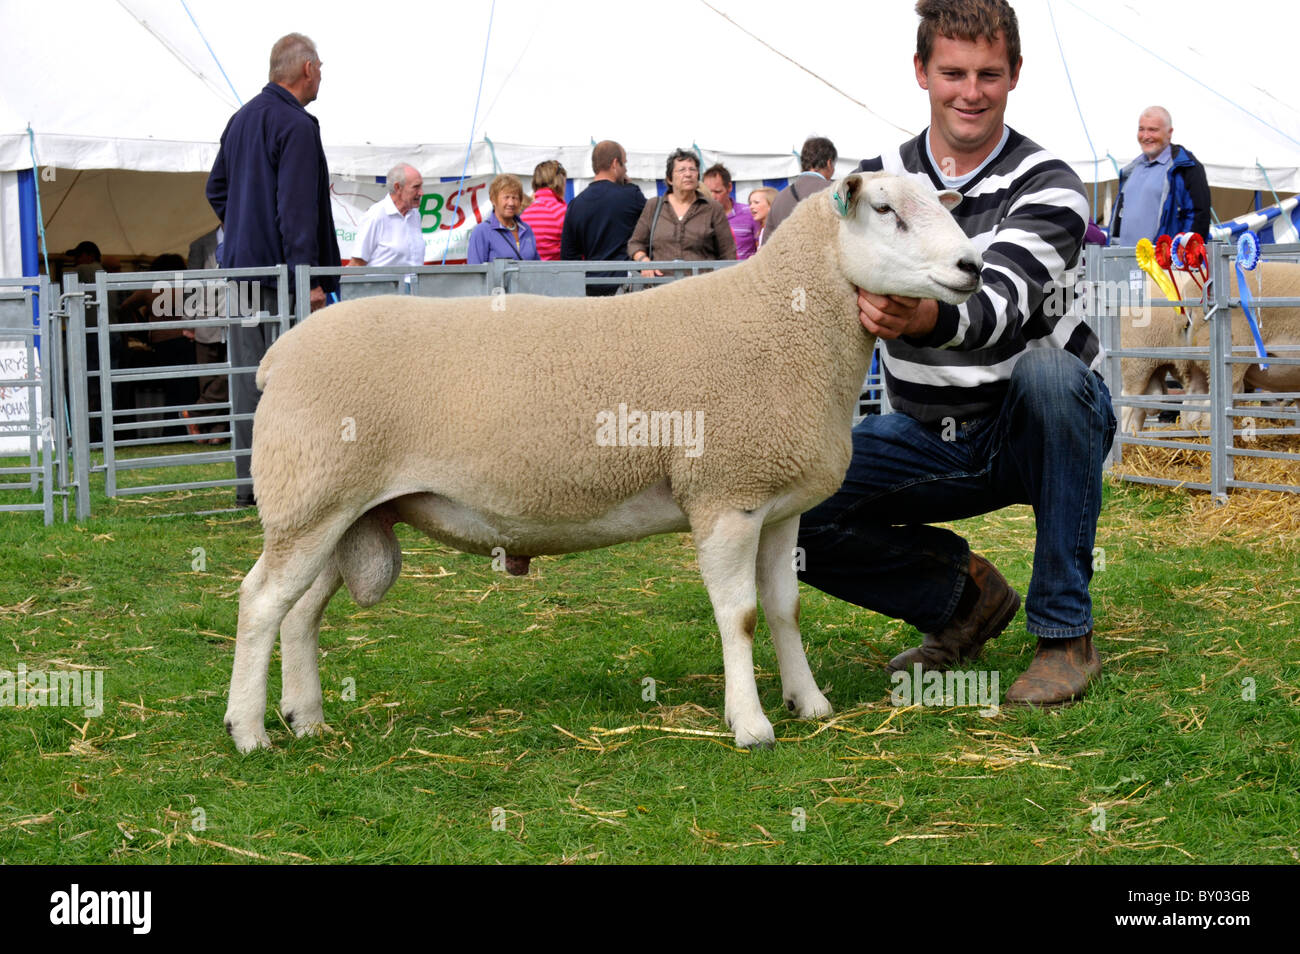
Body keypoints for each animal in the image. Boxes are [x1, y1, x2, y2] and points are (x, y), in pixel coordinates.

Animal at [223, 171, 981, 754]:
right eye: (885, 211)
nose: (972, 268)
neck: (784, 322)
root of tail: (278, 356)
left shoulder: (777, 504)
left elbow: (784, 607)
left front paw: (809, 702)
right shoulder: (724, 494)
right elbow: (739, 615)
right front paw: (751, 724)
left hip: (347, 511)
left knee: (299, 613)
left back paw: (307, 719)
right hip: (311, 497)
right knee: (260, 602)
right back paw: (248, 732)